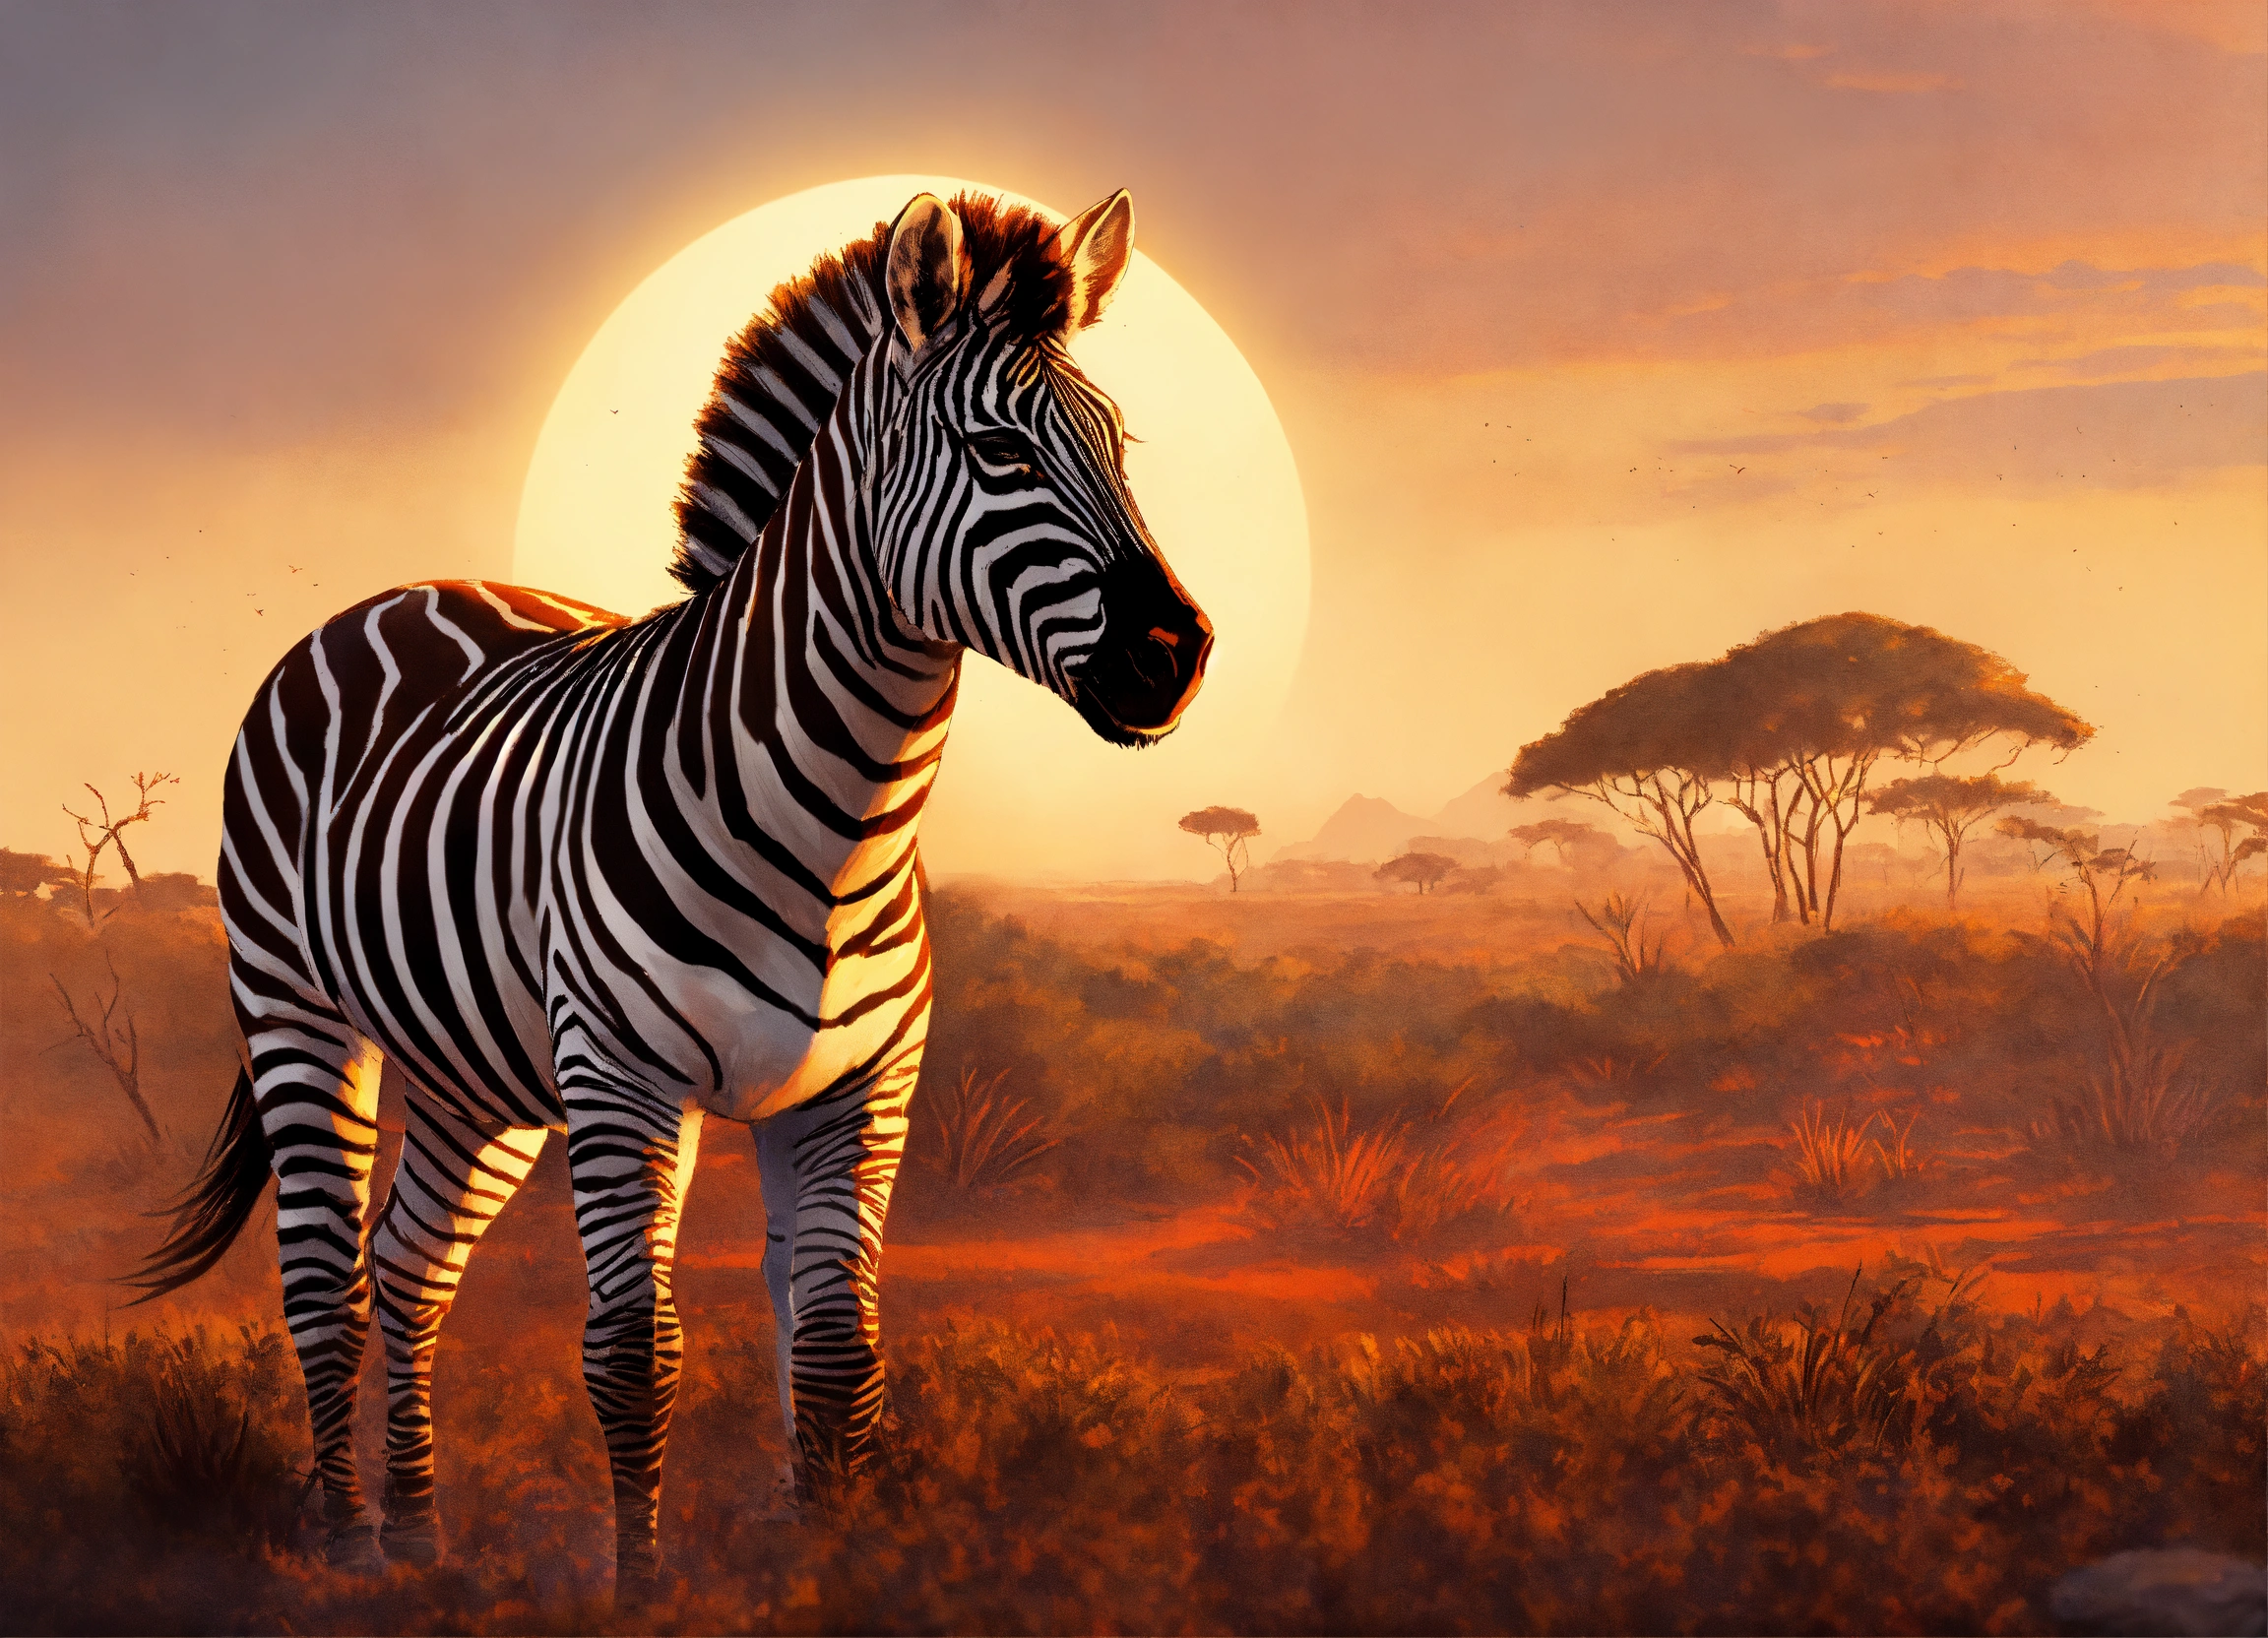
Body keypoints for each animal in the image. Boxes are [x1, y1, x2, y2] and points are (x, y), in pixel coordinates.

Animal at [134, 188, 1212, 1594]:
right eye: (996, 448)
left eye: (1118, 446)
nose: (1175, 653)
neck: (838, 825)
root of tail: (398, 593)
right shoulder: (627, 1078)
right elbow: (635, 1353)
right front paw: (641, 1589)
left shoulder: (859, 1088)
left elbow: (836, 1352)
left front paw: (839, 1567)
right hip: (296, 1007)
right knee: (324, 1284)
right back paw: (346, 1551)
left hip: (483, 1072)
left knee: (409, 1266)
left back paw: (421, 1542)